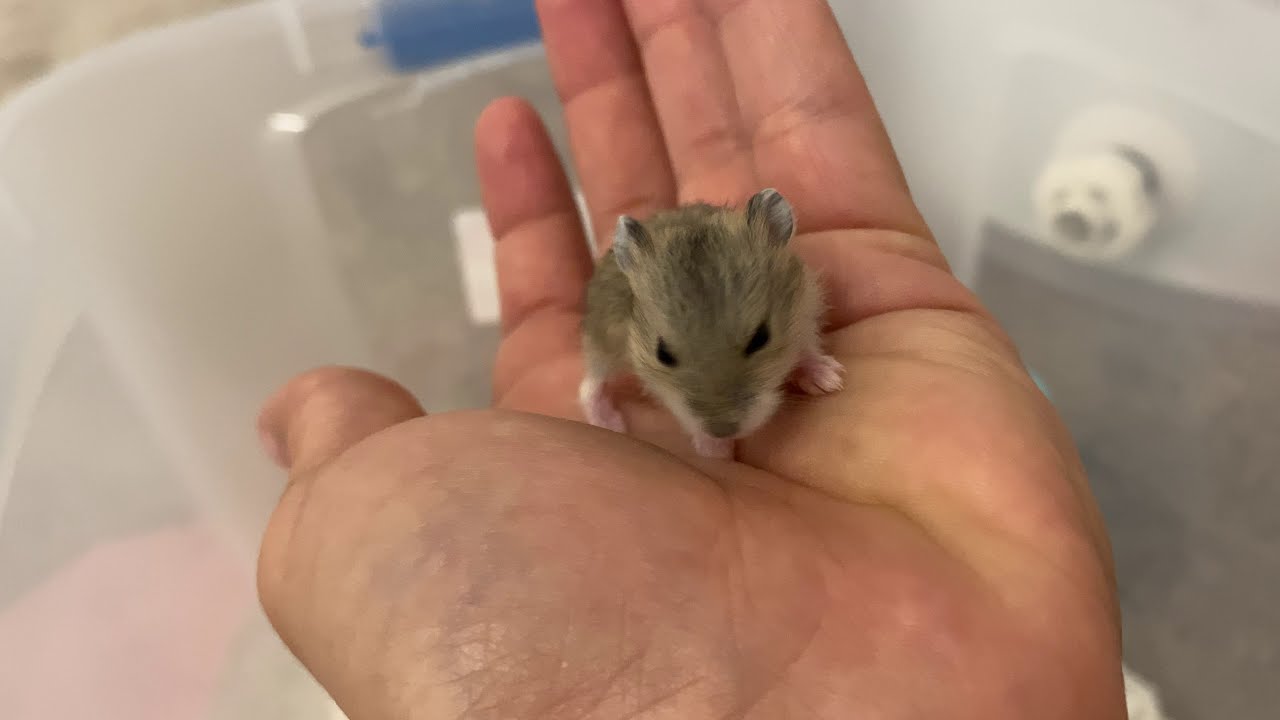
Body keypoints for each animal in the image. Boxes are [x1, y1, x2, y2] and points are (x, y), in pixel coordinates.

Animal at [579, 188, 845, 459]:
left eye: (761, 338)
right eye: (662, 354)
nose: (722, 432)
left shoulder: (805, 305)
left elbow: (808, 348)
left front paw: (832, 381)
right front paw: (715, 452)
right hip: (602, 341)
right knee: (589, 386)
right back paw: (611, 424)